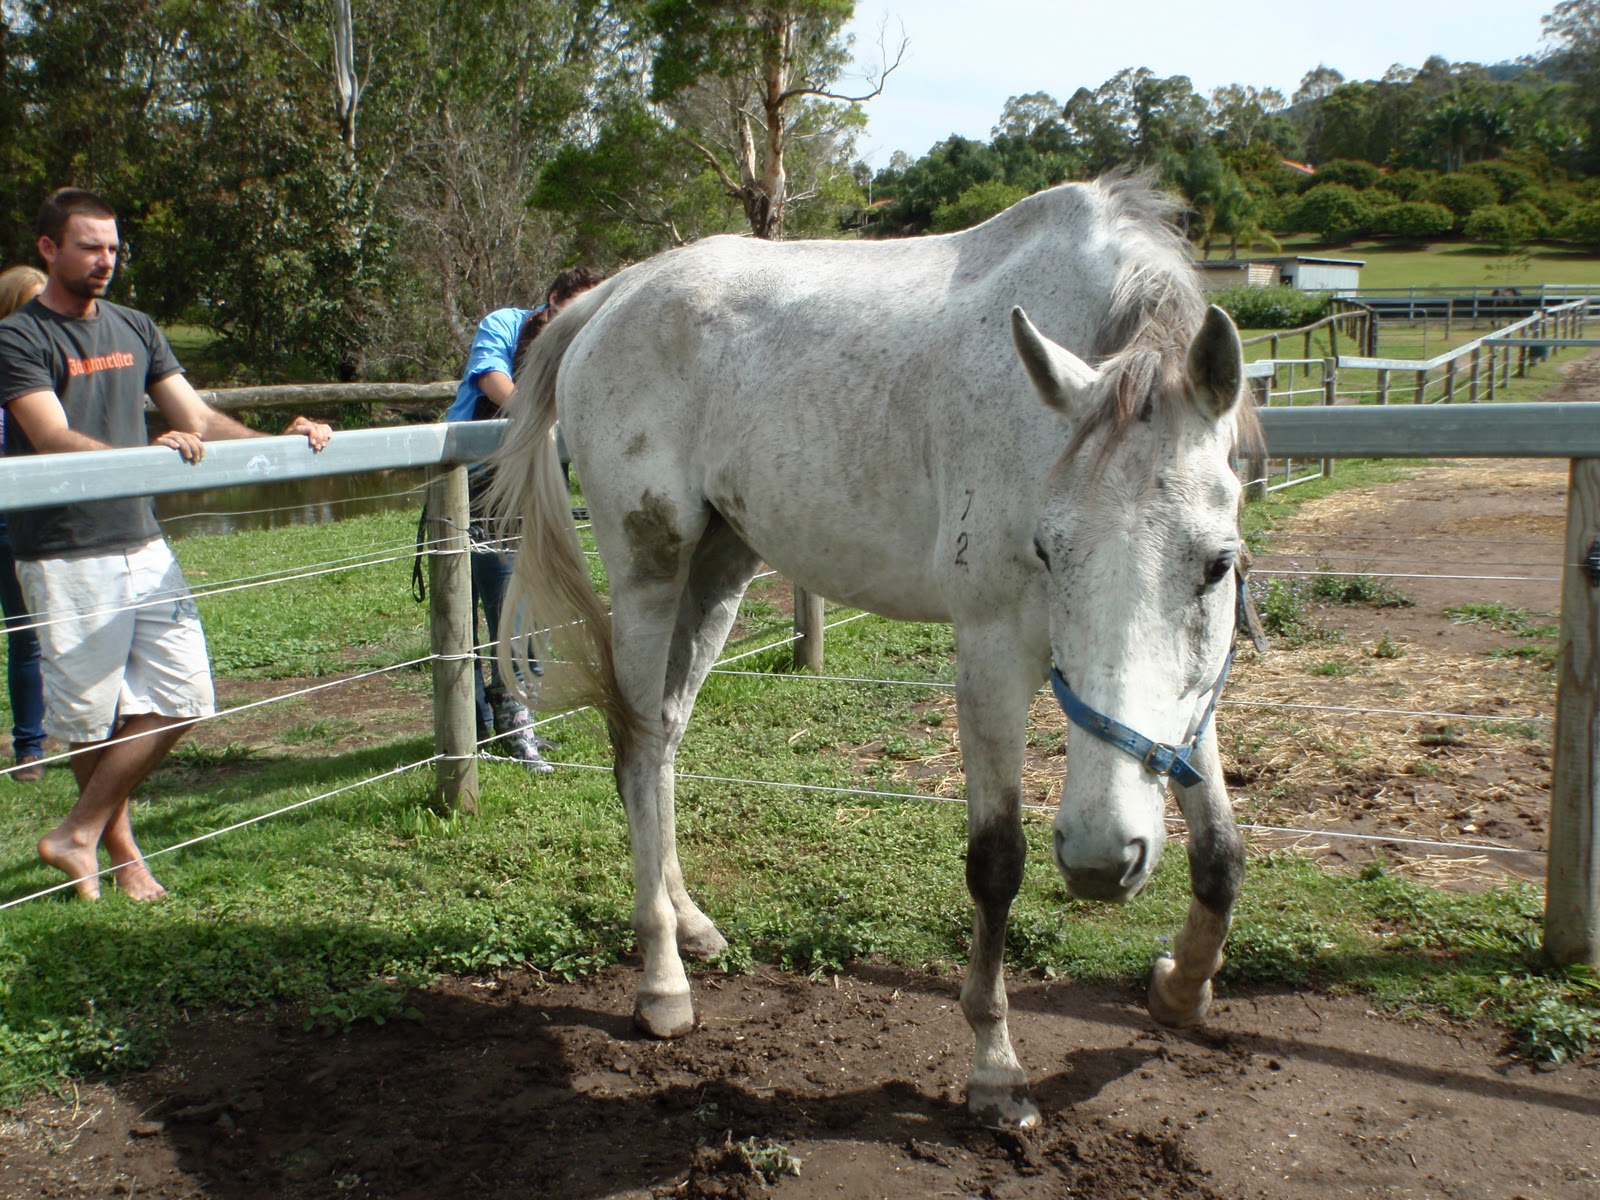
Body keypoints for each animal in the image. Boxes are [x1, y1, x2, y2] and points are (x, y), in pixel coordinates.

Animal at [490, 175, 1258, 1128]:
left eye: (1218, 564)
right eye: (1048, 550)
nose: (1097, 858)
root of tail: (613, 295)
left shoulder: (1185, 696)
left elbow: (1220, 850)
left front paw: (1182, 988)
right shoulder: (992, 654)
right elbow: (996, 864)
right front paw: (995, 1068)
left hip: (719, 568)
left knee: (661, 739)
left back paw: (692, 925)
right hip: (648, 575)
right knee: (635, 748)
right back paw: (662, 981)